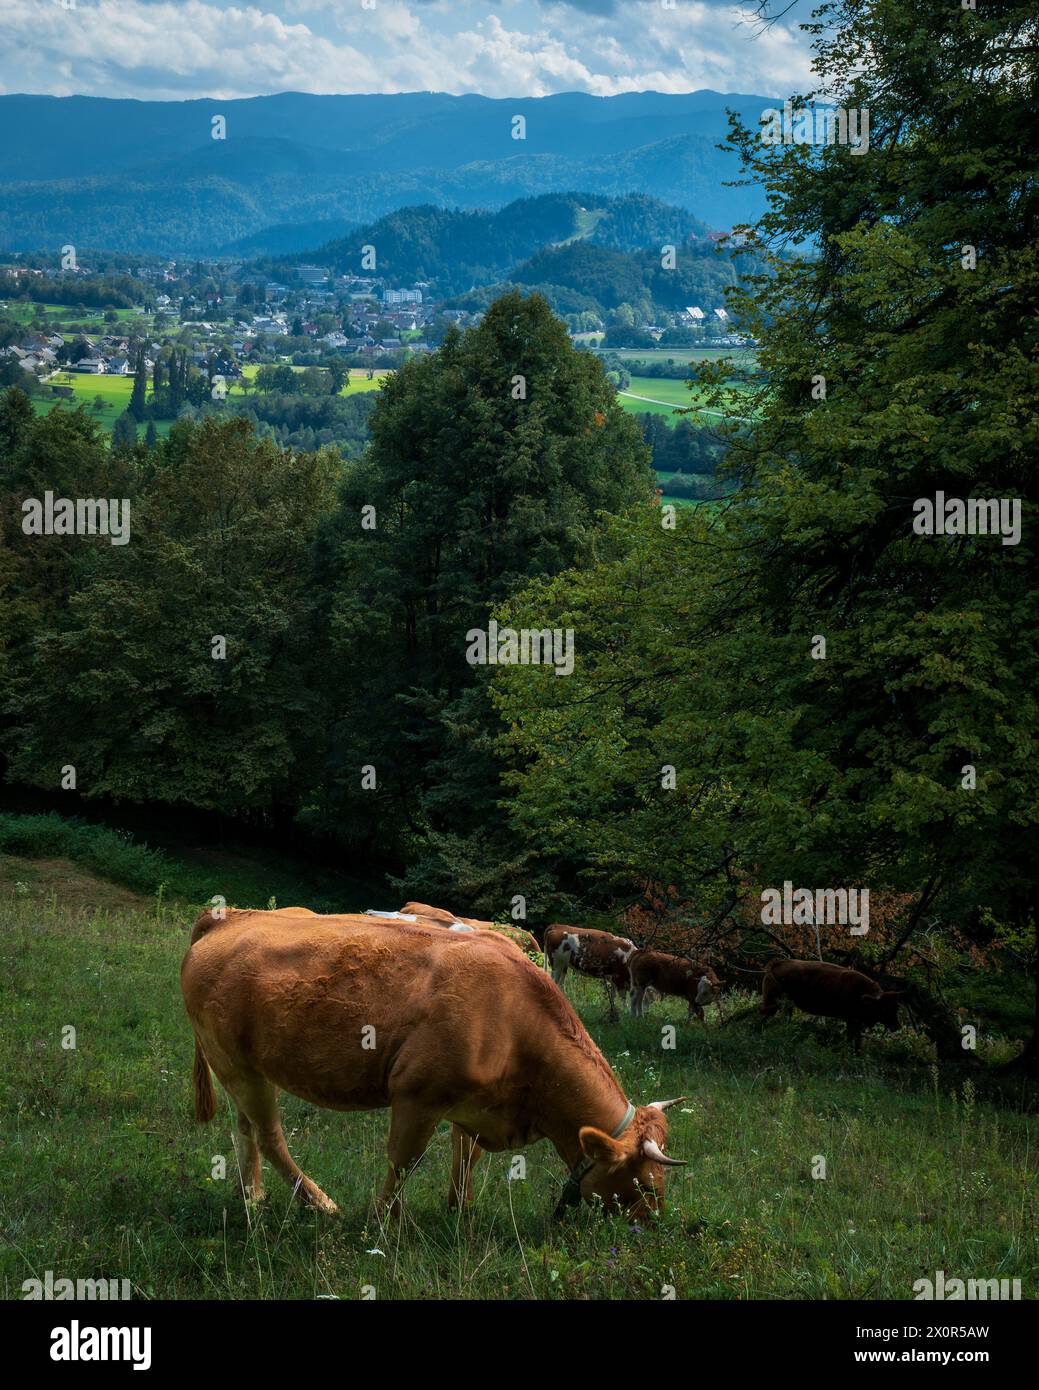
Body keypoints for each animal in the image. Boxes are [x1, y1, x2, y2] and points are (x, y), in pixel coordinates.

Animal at [181, 908, 687, 1220]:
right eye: (646, 1186)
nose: (653, 1225)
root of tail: (232, 916)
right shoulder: (418, 1094)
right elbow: (404, 1161)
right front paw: (383, 1222)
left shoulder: (475, 1104)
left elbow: (466, 1158)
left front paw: (459, 1212)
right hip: (235, 1063)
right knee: (269, 1136)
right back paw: (321, 1204)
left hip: (246, 1067)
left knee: (245, 1130)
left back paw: (253, 1198)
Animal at [760, 959, 903, 1046]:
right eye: (884, 1008)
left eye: (896, 1008)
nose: (896, 1026)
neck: (863, 993)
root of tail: (780, 962)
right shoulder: (852, 1021)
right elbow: (853, 1039)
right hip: (772, 1002)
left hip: (785, 1005)